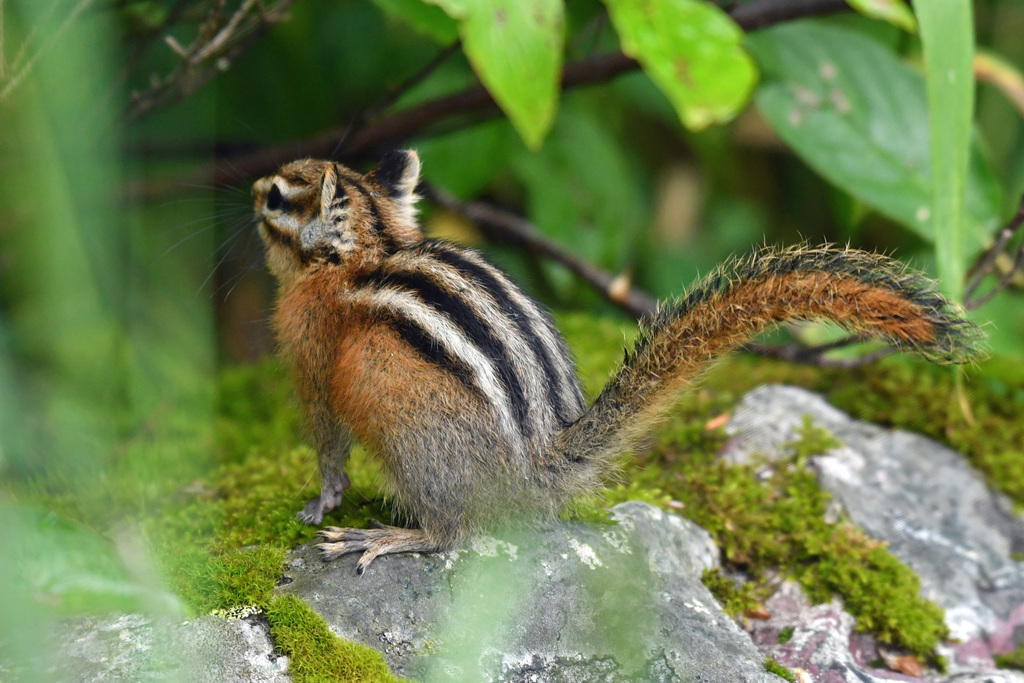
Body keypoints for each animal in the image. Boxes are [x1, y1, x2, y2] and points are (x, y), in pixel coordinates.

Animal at [253, 149, 981, 574]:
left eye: (278, 197)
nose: (253, 182)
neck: (364, 254)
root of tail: (544, 463)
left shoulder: (312, 359)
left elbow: (326, 442)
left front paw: (322, 503)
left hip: (404, 420)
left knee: (450, 532)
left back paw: (386, 537)